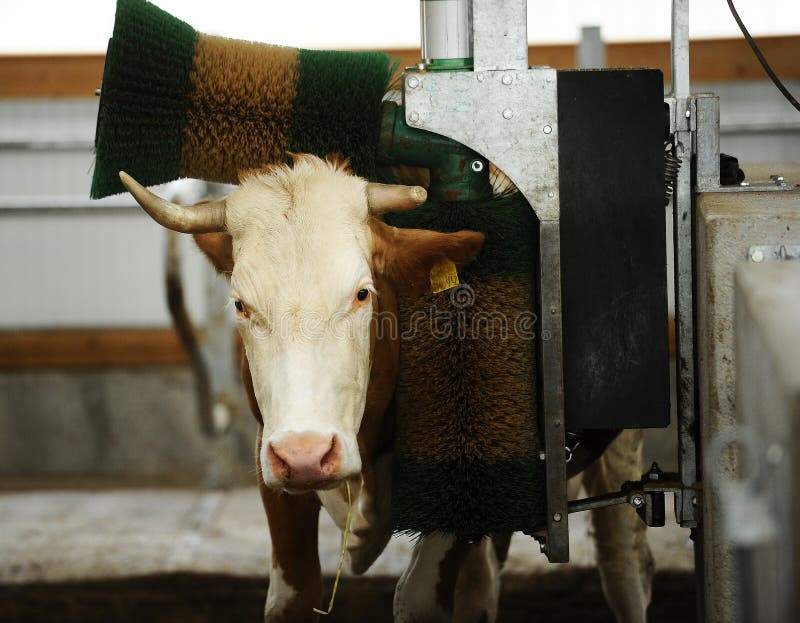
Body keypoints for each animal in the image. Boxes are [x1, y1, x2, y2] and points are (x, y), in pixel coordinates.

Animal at [120, 154, 653, 623]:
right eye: (240, 305)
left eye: (362, 293)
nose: (306, 455)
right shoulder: (269, 458)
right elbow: (291, 597)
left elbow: (416, 599)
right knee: (483, 582)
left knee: (624, 562)